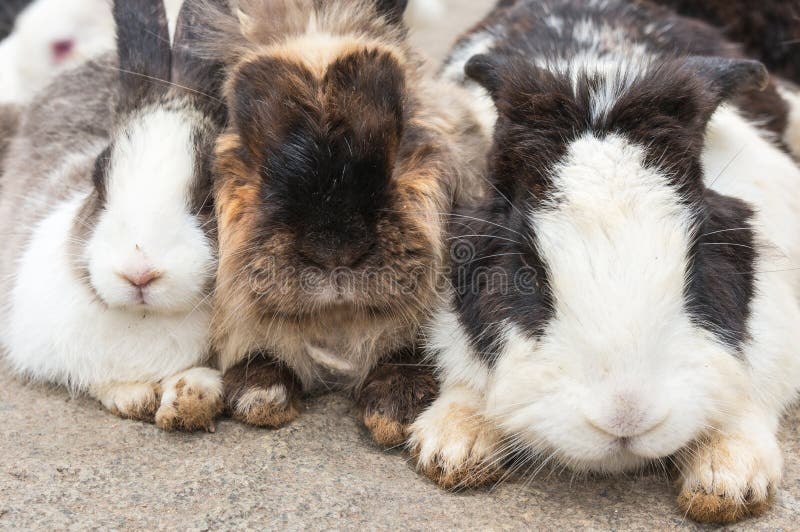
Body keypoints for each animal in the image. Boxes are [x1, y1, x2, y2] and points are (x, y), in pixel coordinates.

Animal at [0, 0, 228, 431]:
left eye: (211, 195)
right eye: (98, 176)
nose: (139, 273)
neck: (147, 318)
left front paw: (190, 400)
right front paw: (132, 397)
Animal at [191, 0, 489, 446]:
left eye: (402, 135)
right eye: (250, 149)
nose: (335, 249)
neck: (337, 324)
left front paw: (393, 412)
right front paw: (261, 396)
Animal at [409, 0, 800, 524]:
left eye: (697, 257)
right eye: (525, 270)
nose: (626, 415)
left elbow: (753, 395)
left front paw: (728, 481)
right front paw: (453, 446)